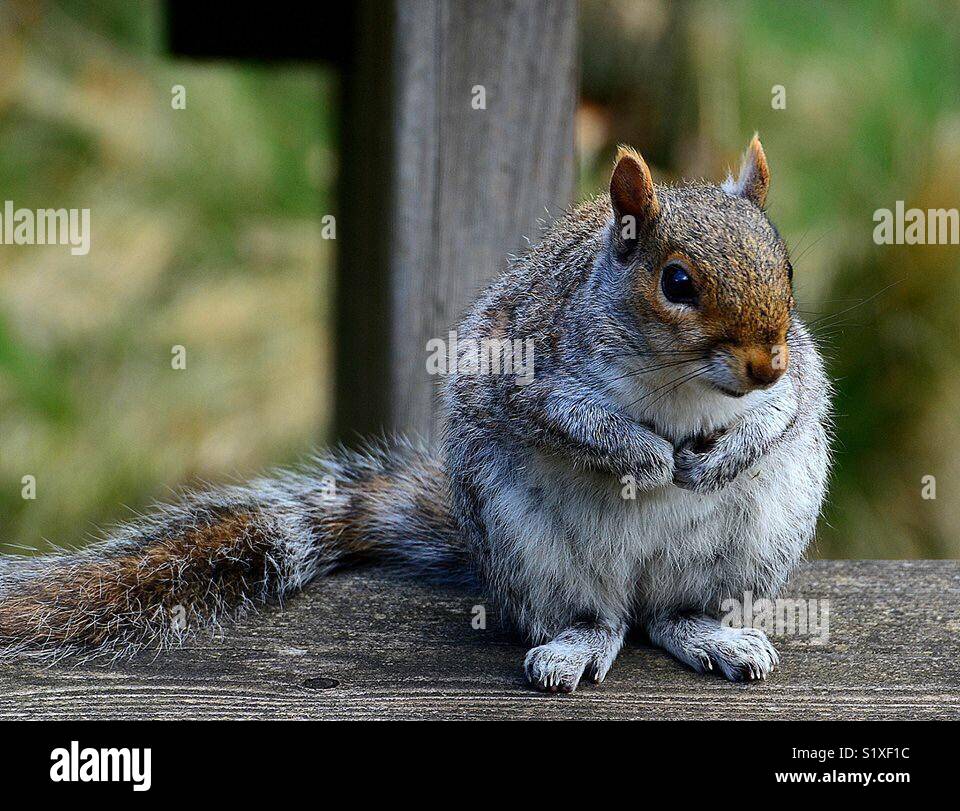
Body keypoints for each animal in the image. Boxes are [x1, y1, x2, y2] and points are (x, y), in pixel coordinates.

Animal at [0, 136, 830, 690]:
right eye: (677, 281)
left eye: (788, 267)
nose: (765, 361)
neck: (683, 387)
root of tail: (641, 590)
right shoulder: (526, 370)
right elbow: (570, 420)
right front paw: (644, 455)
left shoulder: (798, 378)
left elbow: (787, 412)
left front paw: (729, 450)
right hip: (534, 550)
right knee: (597, 619)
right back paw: (575, 646)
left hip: (752, 542)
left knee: (669, 617)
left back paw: (716, 636)